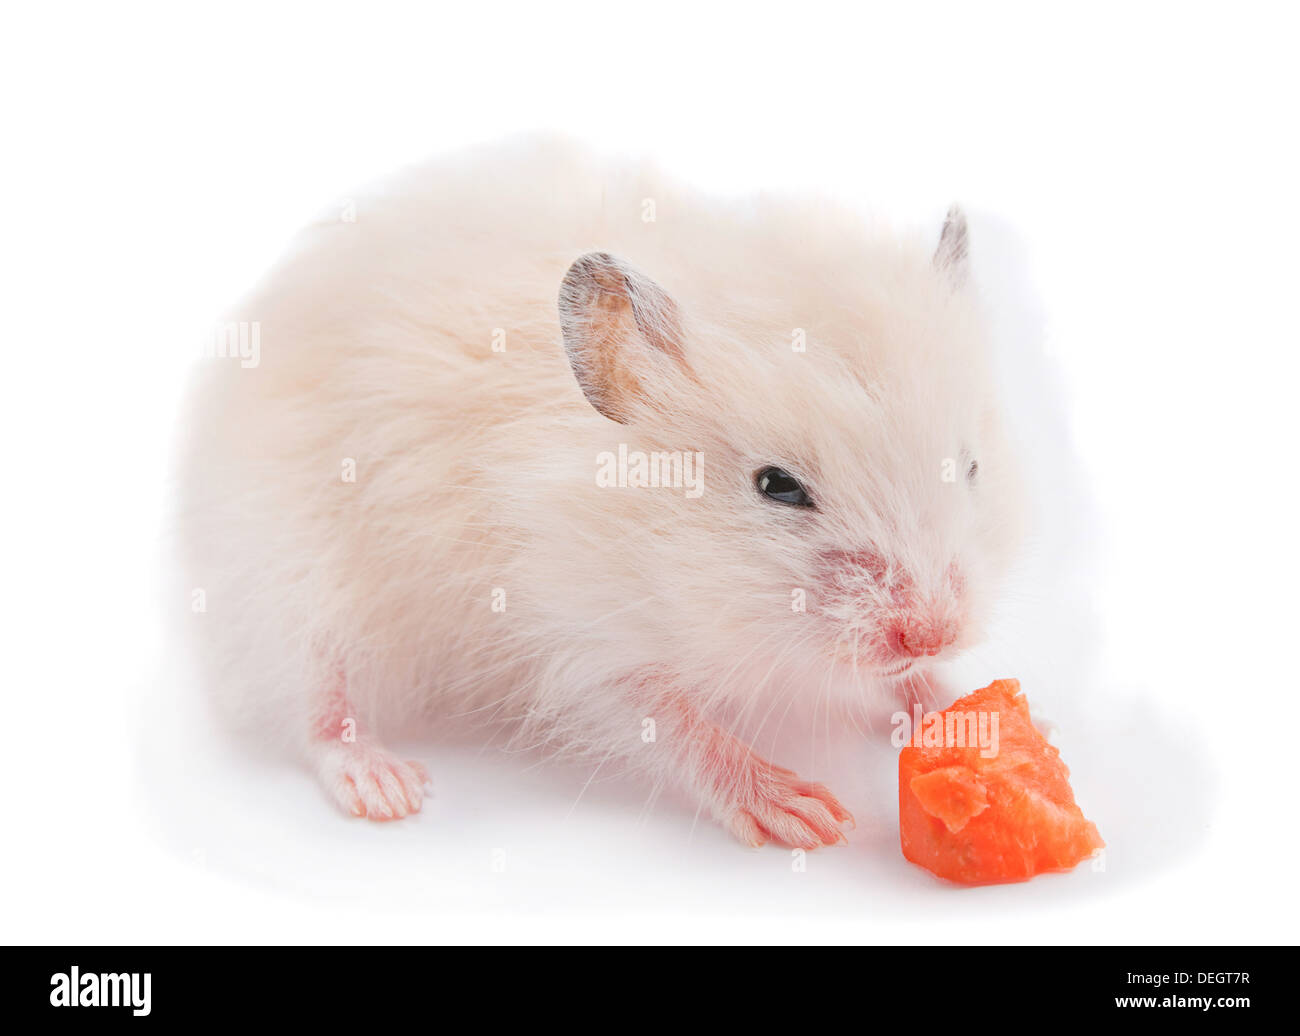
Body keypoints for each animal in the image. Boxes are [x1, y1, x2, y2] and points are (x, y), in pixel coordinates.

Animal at [176, 136, 1024, 849]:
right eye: (777, 487)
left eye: (970, 468)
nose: (934, 630)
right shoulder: (576, 640)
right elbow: (672, 723)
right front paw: (803, 813)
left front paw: (966, 710)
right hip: (293, 577)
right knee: (317, 701)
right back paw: (387, 790)